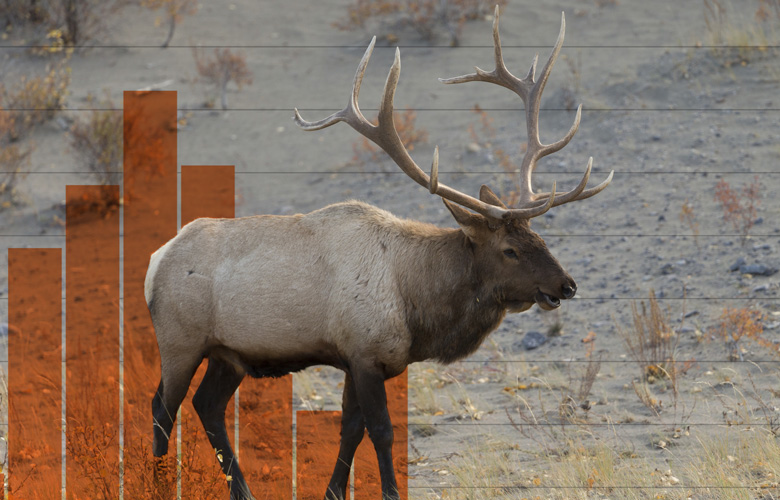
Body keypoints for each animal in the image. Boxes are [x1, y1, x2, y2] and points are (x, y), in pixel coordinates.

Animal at [145, 6, 612, 500]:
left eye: (539, 238)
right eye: (509, 250)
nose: (567, 284)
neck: (417, 306)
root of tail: (155, 261)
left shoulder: (362, 359)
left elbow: (351, 429)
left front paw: (333, 491)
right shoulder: (365, 353)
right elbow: (382, 431)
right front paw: (388, 491)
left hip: (228, 354)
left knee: (206, 406)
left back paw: (243, 491)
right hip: (179, 340)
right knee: (162, 408)